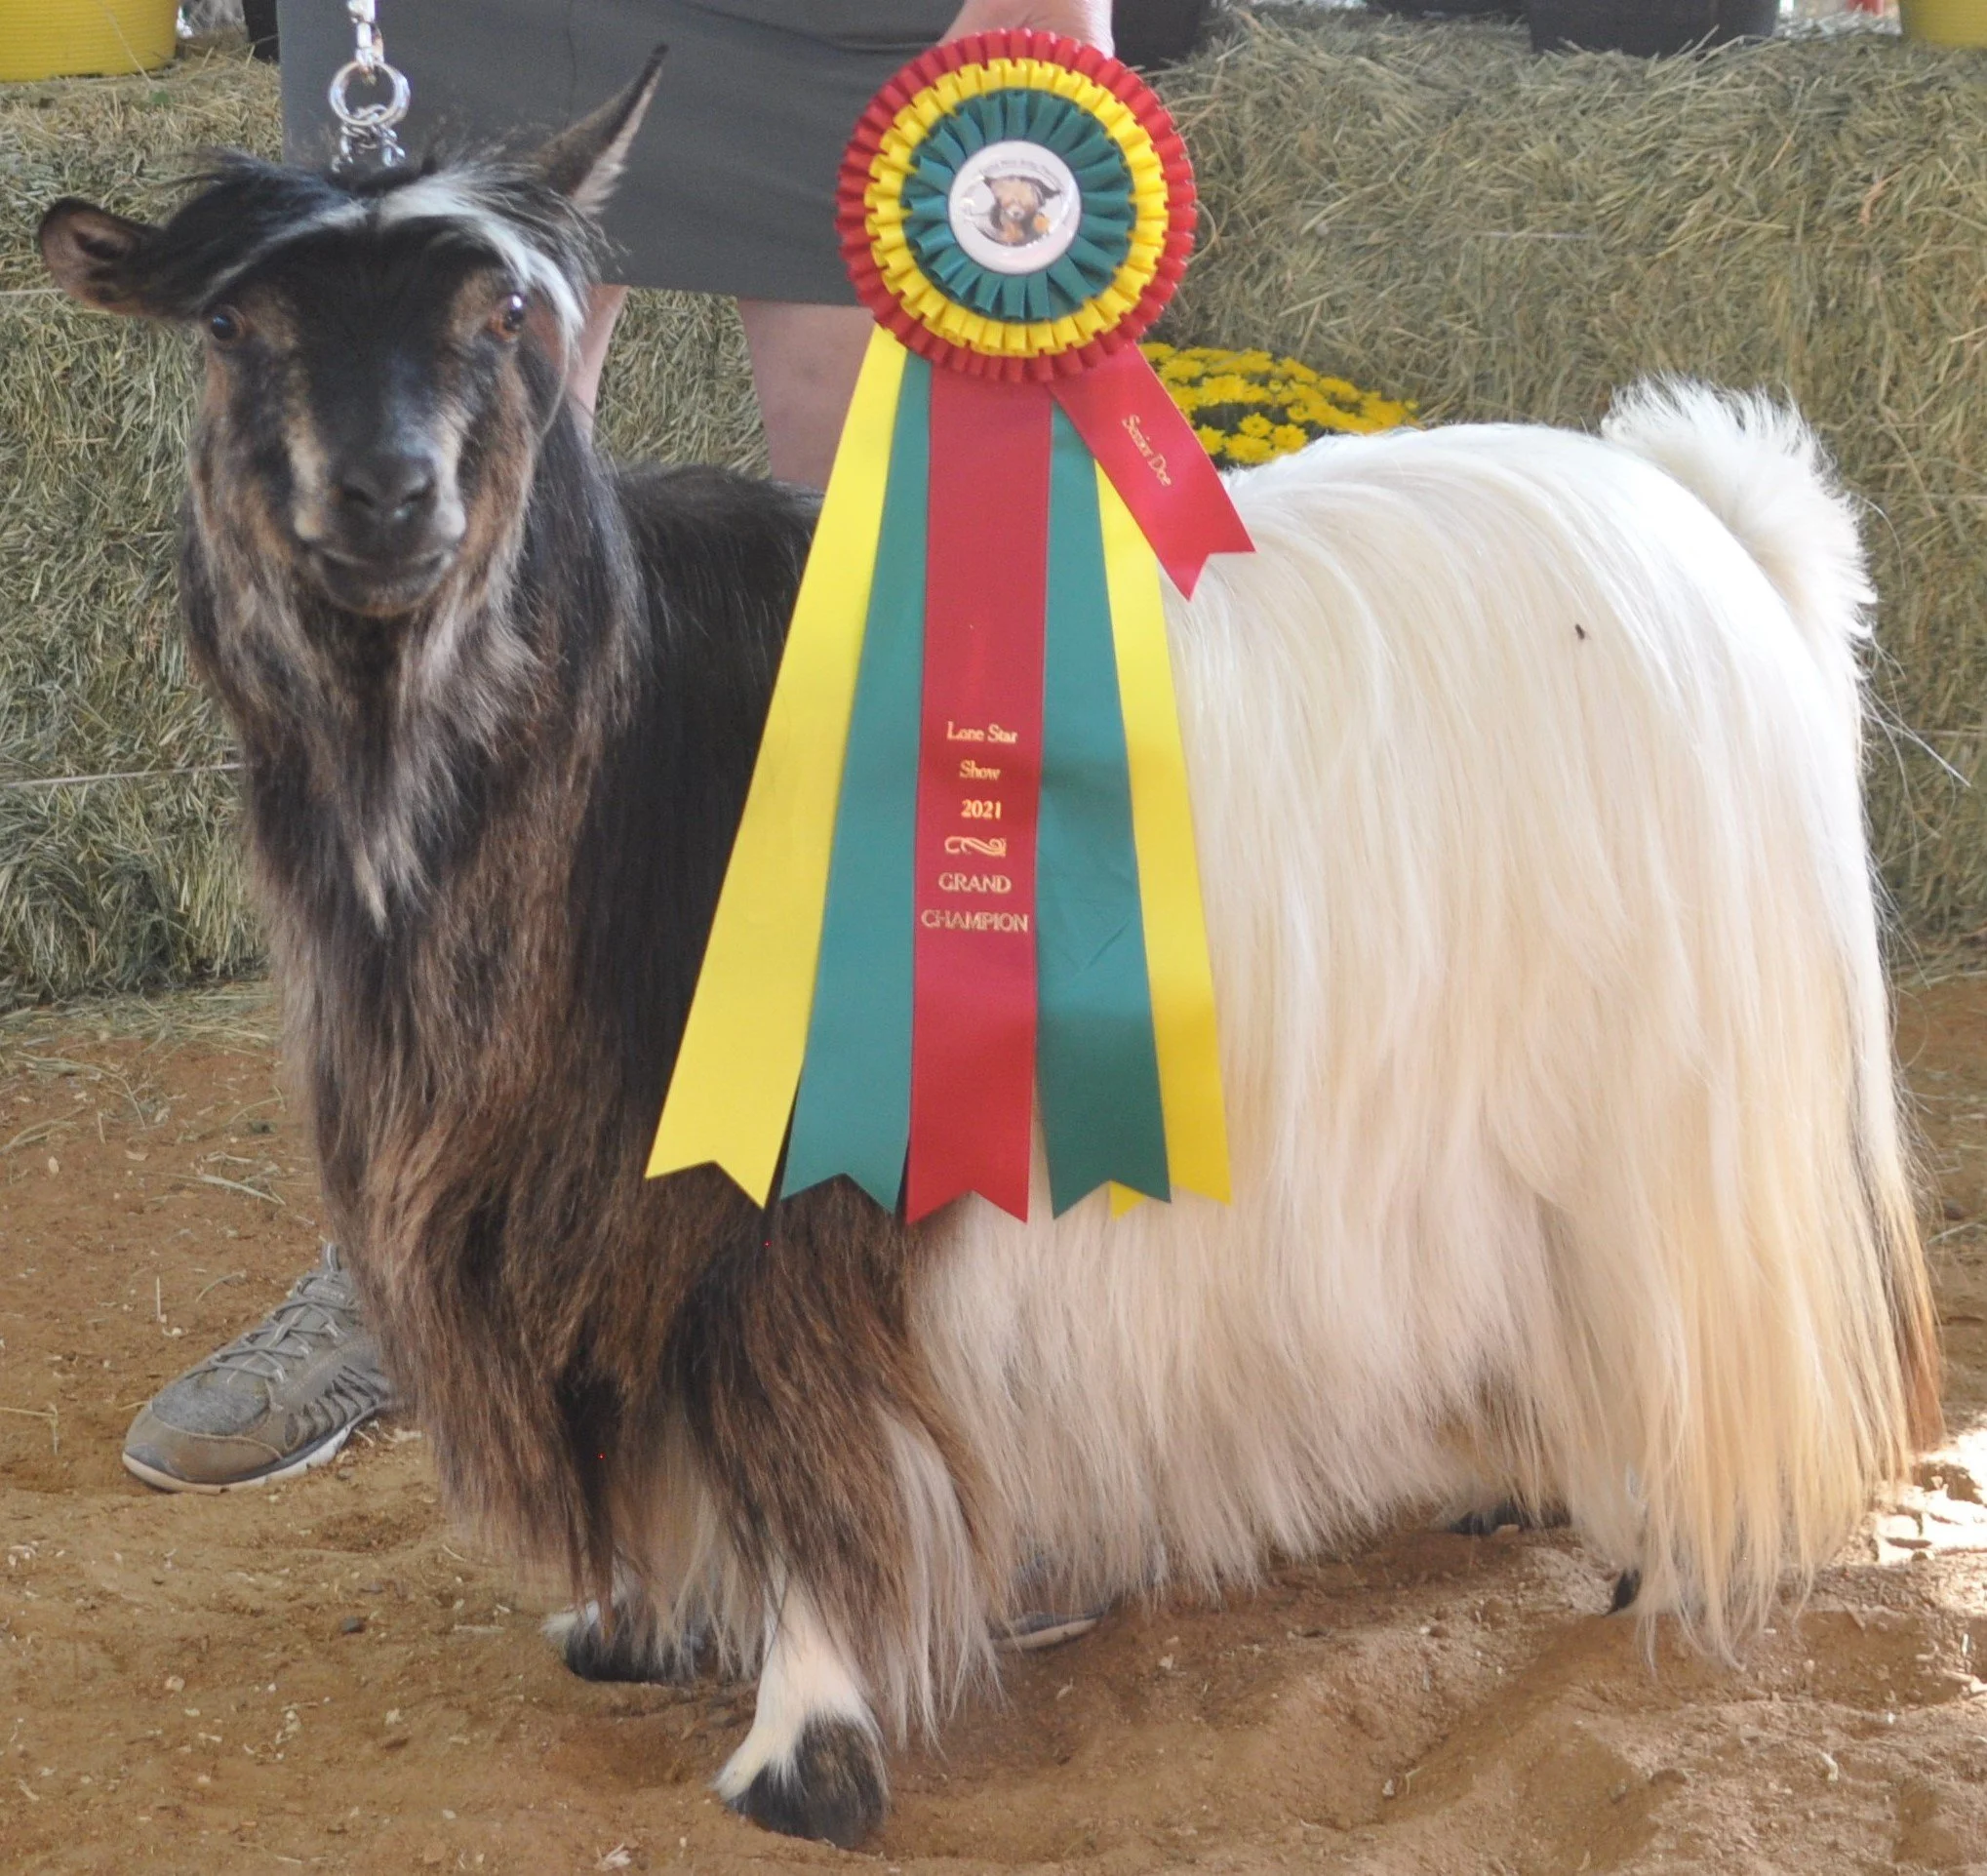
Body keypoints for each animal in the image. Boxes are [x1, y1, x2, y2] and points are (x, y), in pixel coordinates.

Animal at [41, 64, 1938, 1848]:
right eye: (232, 327)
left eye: (505, 314)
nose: (386, 496)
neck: (602, 740)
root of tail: (1711, 513)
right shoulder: (596, 1197)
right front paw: (631, 1625)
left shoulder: (792, 1195)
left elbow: (803, 1445)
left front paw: (804, 1748)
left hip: (1673, 1094)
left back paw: (1652, 1550)